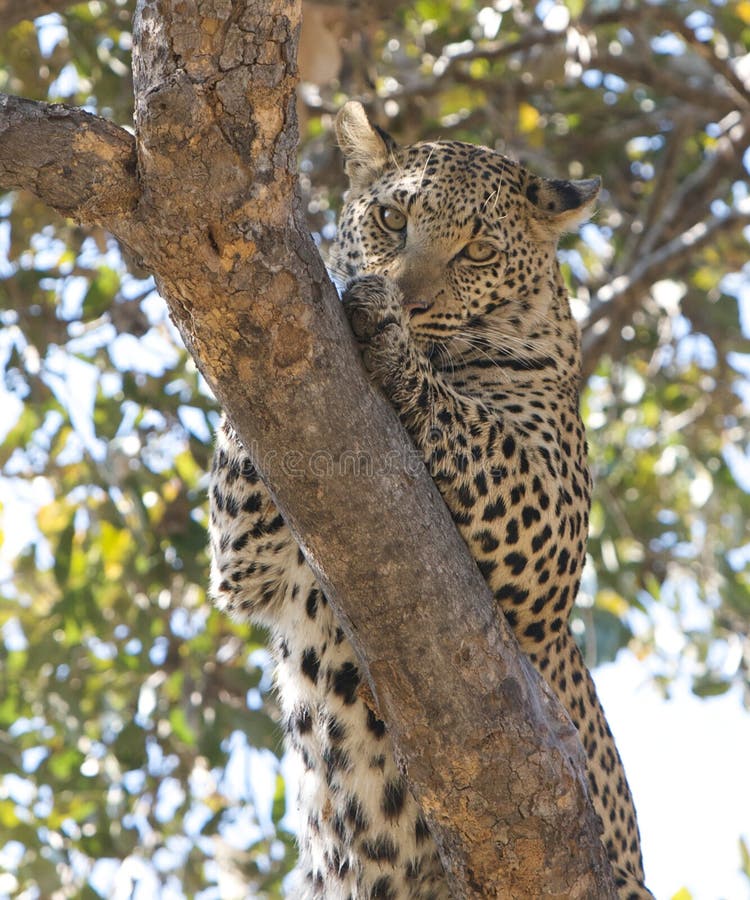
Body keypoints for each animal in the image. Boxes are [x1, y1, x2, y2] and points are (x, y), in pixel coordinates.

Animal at [208, 100, 653, 899]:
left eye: (475, 253)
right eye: (391, 217)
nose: (409, 300)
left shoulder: (546, 531)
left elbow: (467, 423)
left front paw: (388, 331)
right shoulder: (250, 564)